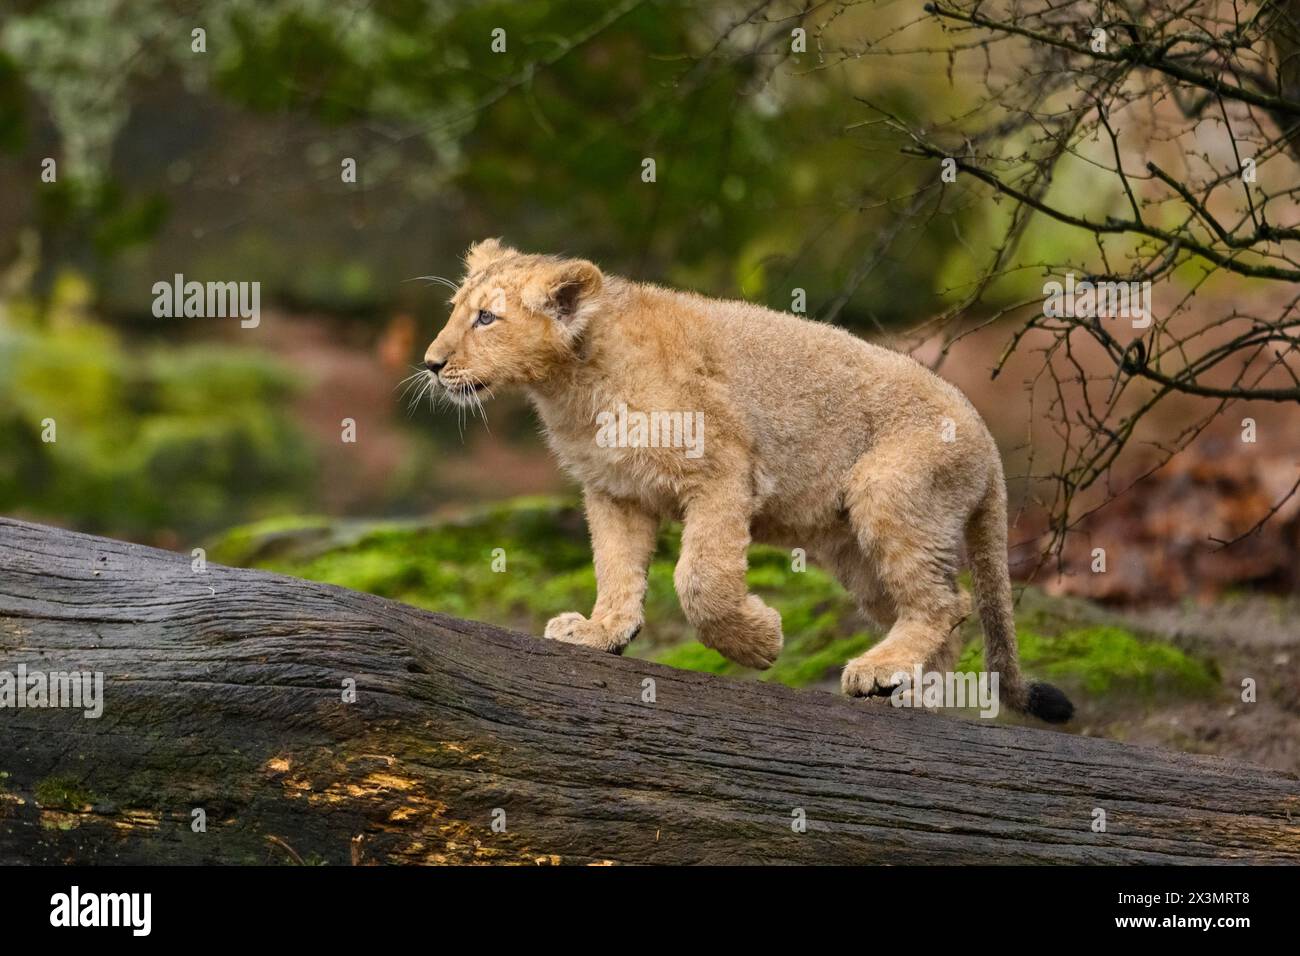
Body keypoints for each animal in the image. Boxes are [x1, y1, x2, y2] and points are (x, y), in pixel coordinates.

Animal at [420, 239, 1074, 722]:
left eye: (486, 318)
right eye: (455, 311)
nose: (431, 363)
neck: (570, 385)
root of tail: (986, 440)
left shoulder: (722, 471)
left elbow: (700, 579)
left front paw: (760, 642)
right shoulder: (615, 492)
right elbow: (615, 568)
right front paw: (602, 630)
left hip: (888, 490)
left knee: (948, 601)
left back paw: (881, 671)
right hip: (854, 549)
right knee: (943, 611)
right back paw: (913, 691)